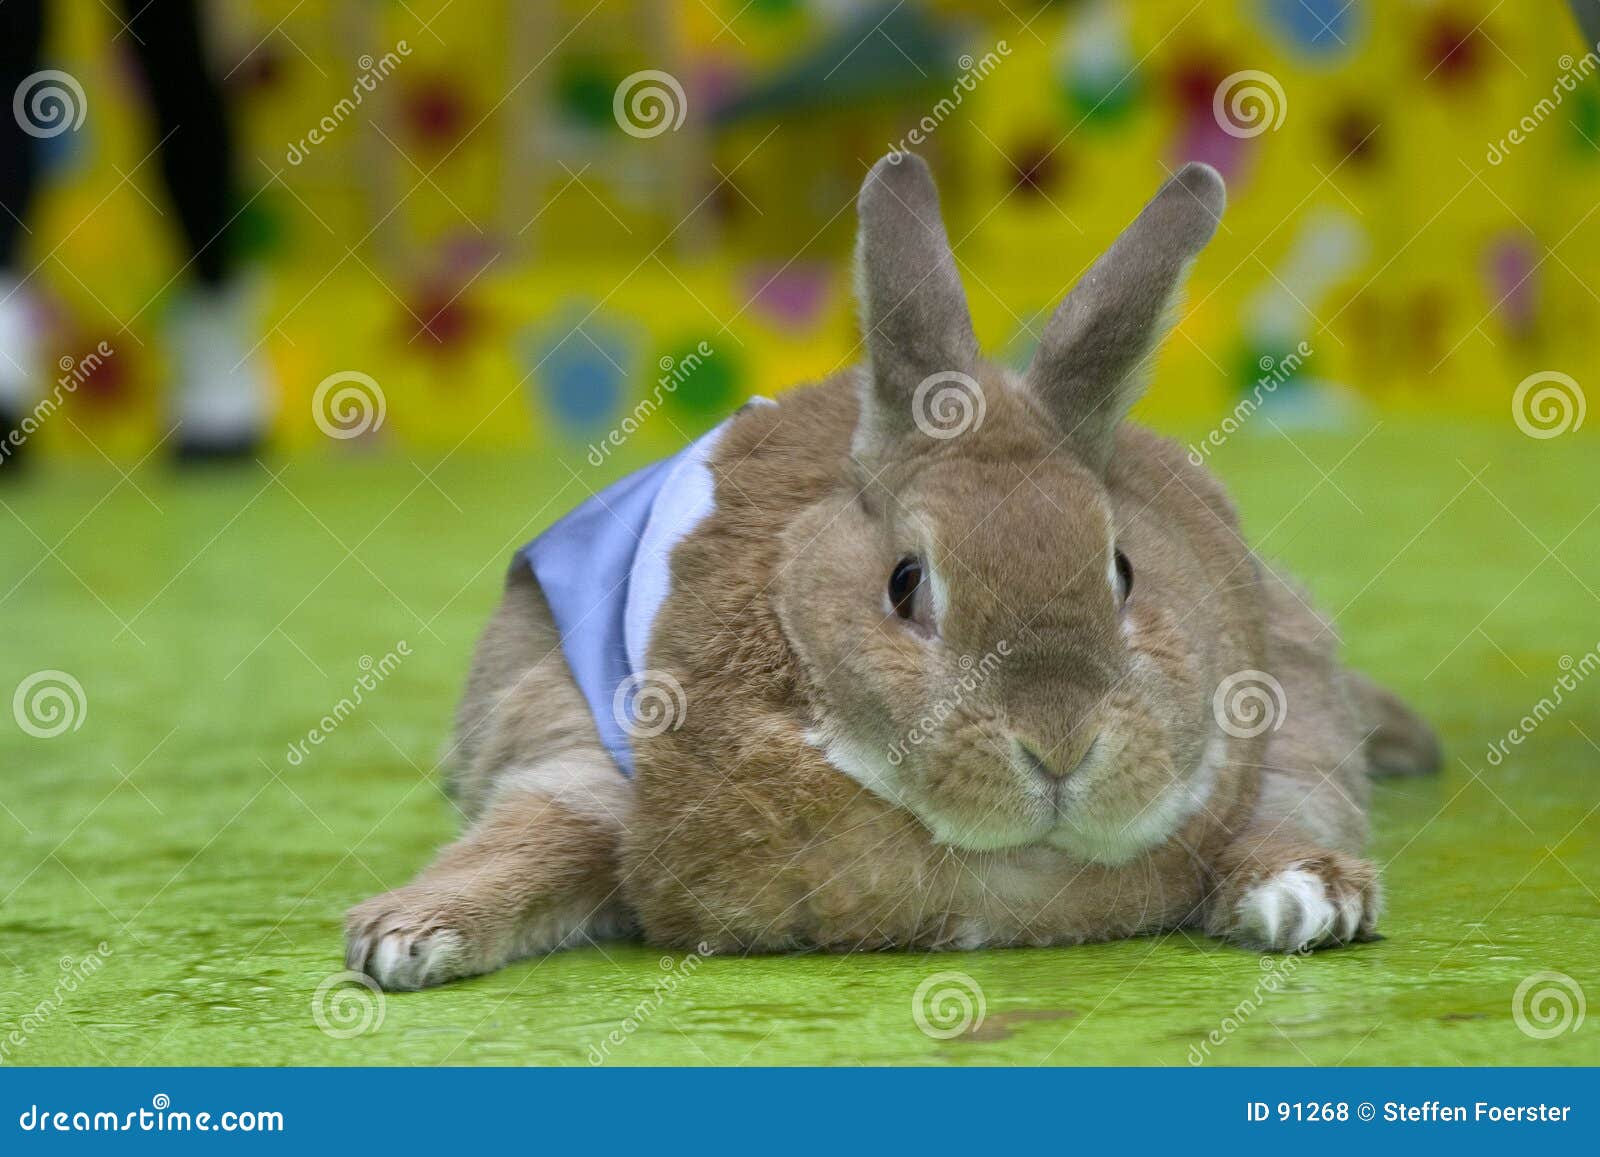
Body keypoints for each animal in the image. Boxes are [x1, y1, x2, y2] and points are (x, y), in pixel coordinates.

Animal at [346, 153, 1440, 990]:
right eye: (906, 583)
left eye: (1124, 570)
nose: (1059, 744)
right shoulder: (579, 743)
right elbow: (533, 831)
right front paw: (403, 940)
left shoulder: (1278, 706)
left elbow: (1291, 802)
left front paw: (1310, 899)